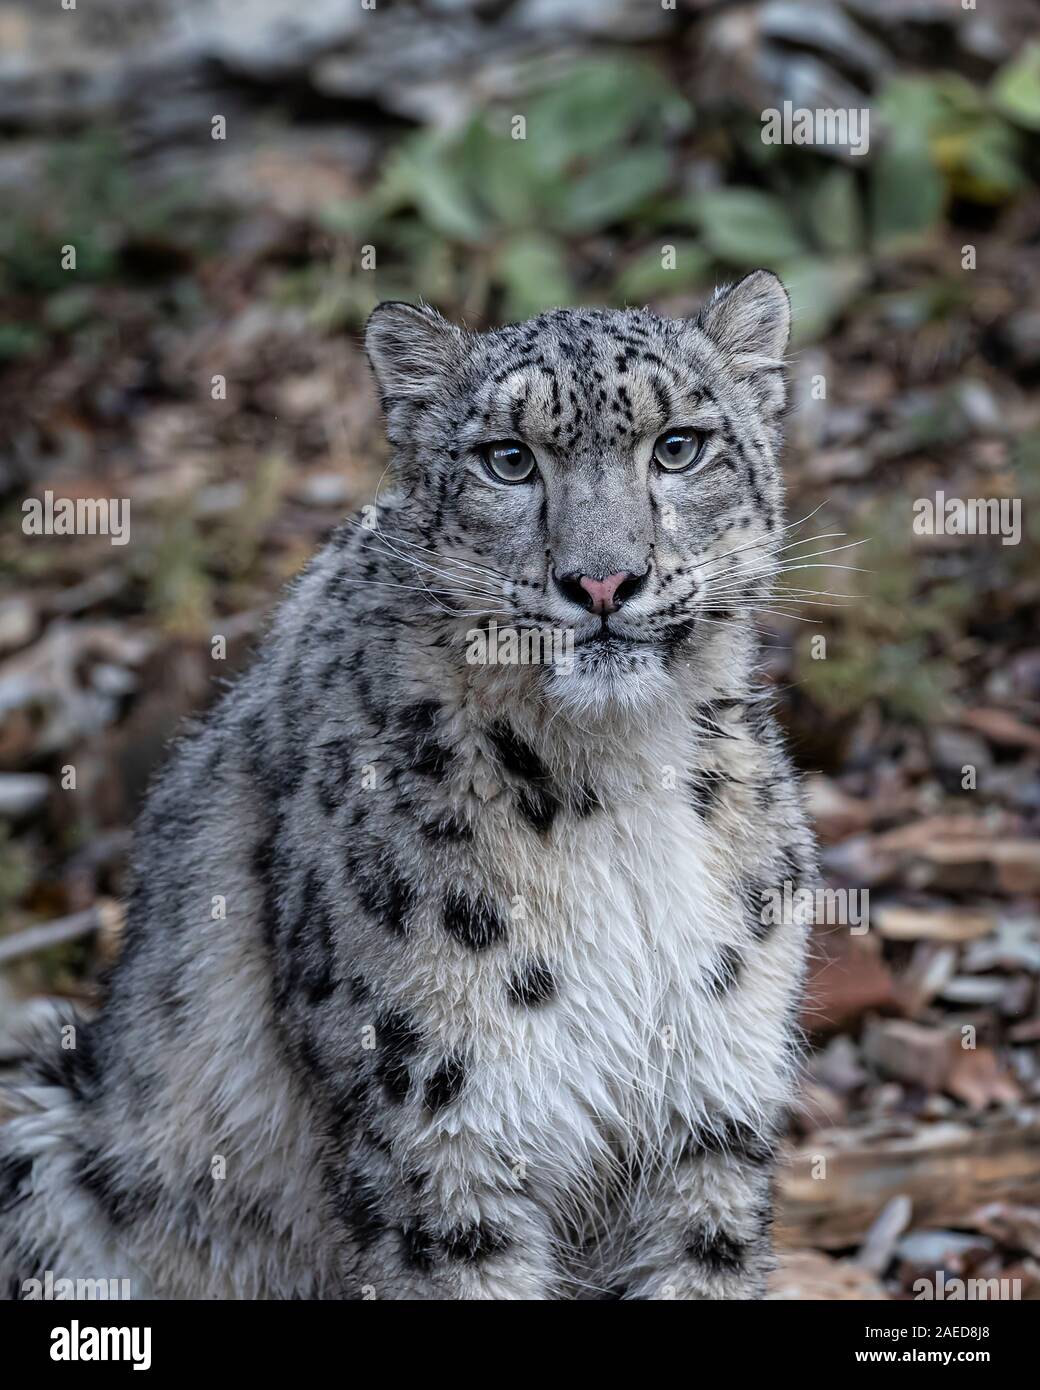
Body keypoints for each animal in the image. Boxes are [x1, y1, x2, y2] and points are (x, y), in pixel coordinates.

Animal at [0, 270, 817, 1299]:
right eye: (508, 459)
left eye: (679, 446)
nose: (602, 582)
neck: (624, 781)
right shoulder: (441, 1124)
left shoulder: (710, 1106)